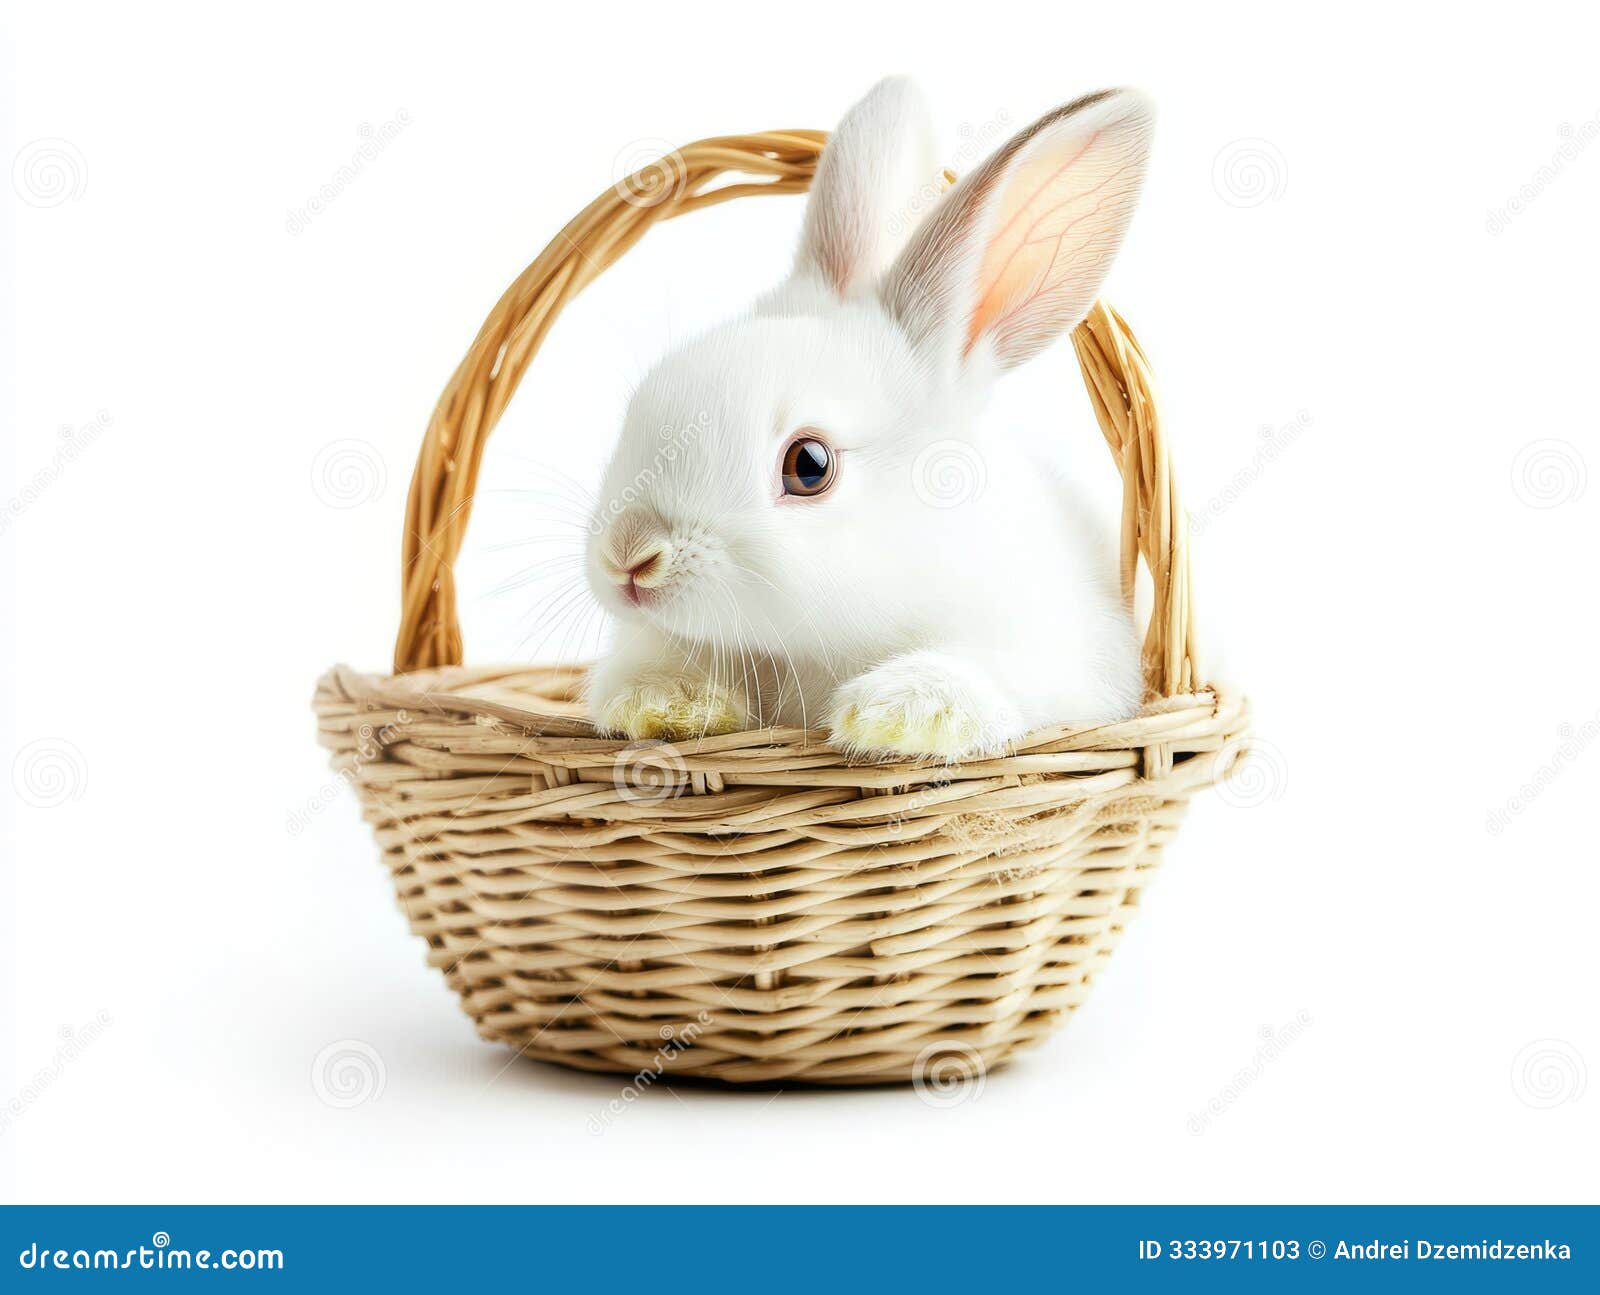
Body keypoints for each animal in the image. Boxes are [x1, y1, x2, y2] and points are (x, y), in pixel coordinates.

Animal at [582, 77, 1155, 761]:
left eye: (809, 466)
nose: (628, 554)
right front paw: (662, 705)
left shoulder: (1061, 657)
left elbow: (988, 671)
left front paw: (893, 715)